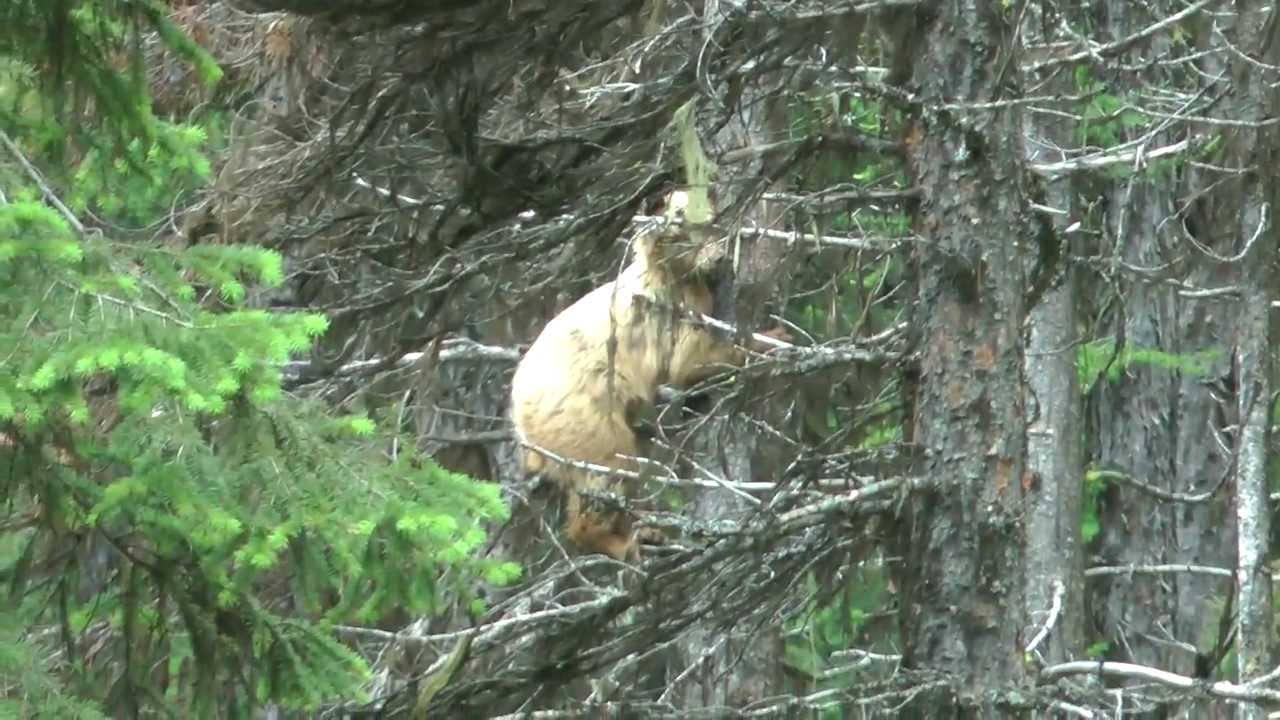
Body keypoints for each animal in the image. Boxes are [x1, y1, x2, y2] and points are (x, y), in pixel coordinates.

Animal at [509, 190, 782, 561]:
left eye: (713, 220)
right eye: (681, 226)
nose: (719, 257)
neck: (673, 272)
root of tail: (517, 412)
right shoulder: (669, 309)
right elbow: (689, 361)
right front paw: (773, 338)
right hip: (580, 412)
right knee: (610, 465)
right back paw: (620, 537)